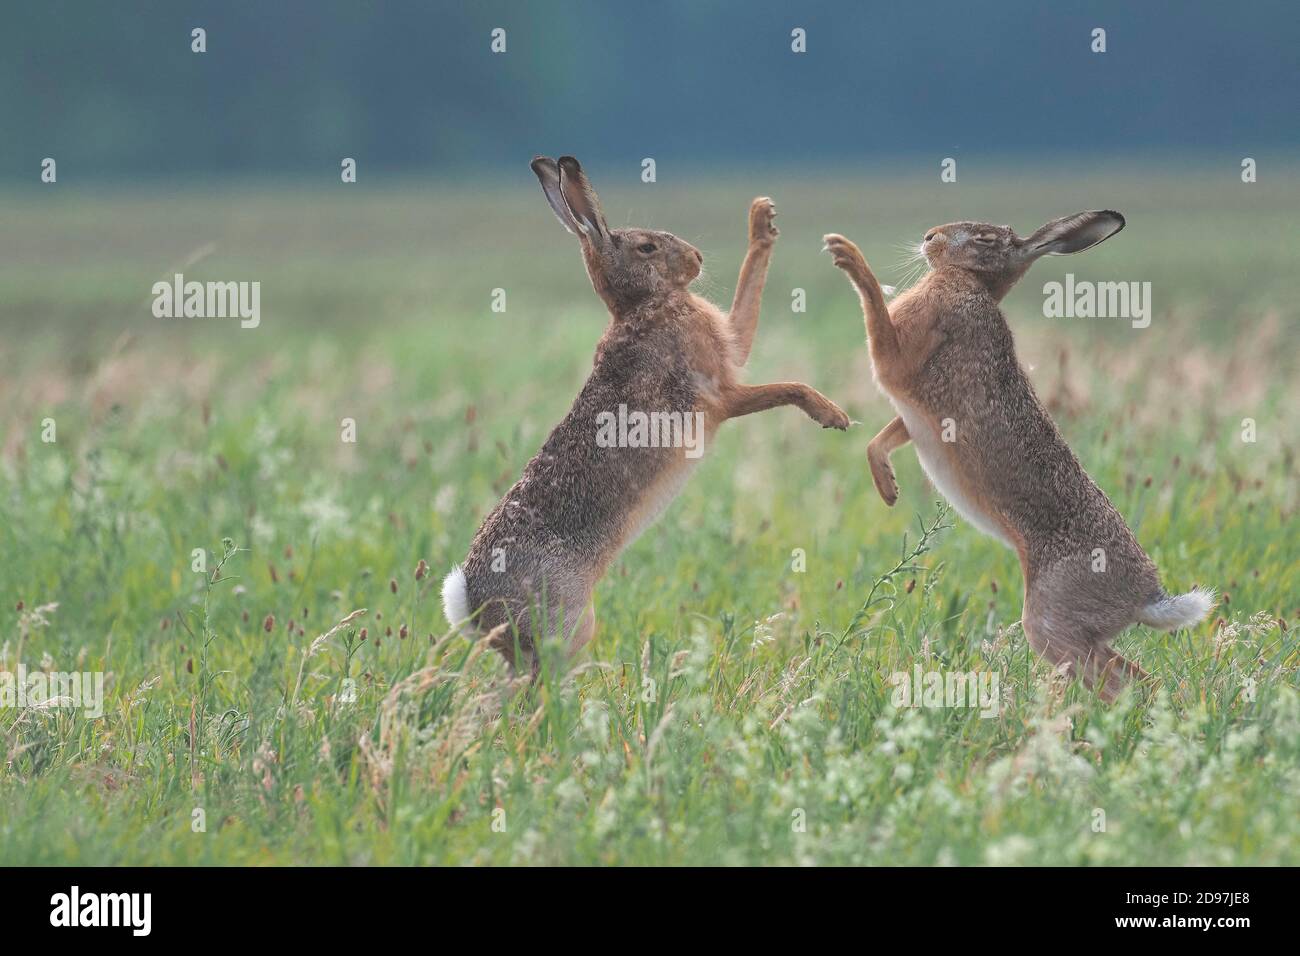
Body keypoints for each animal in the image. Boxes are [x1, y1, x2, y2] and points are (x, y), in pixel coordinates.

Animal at [442, 155, 849, 674]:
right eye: (648, 246)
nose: (696, 257)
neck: (642, 306)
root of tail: (470, 602)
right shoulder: (721, 392)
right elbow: (782, 384)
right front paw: (832, 414)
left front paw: (763, 218)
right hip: (567, 630)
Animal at [822, 212, 1214, 700]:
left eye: (985, 239)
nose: (930, 237)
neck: (974, 282)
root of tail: (1147, 595)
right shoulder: (917, 415)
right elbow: (887, 436)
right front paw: (887, 488)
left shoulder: (906, 353)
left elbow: (876, 312)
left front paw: (846, 255)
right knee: (1138, 677)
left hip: (1051, 621)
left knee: (1117, 681)